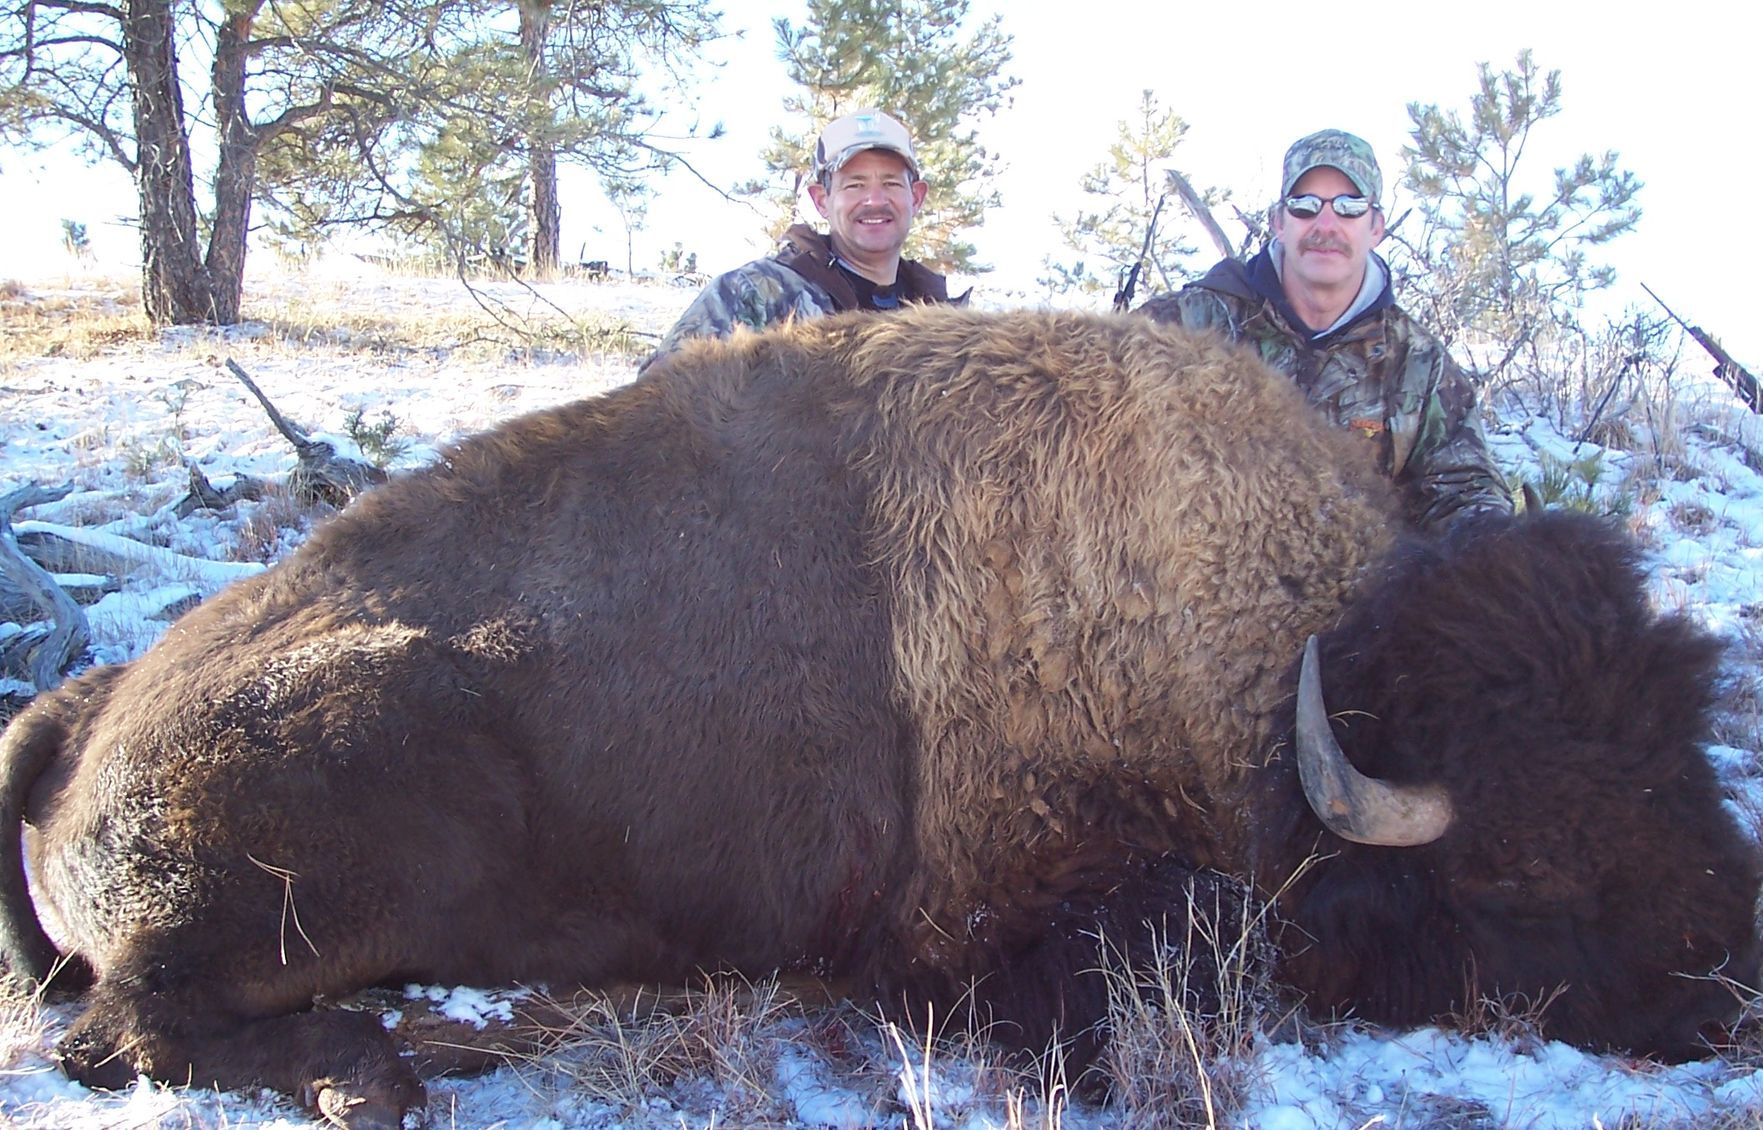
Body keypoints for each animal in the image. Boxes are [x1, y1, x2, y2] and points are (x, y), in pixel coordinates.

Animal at [1, 307, 1757, 1127]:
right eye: (1526, 872)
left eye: (1689, 774)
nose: (1727, 988)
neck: (1276, 687)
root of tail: (85, 723)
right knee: (120, 1029)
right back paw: (379, 1064)